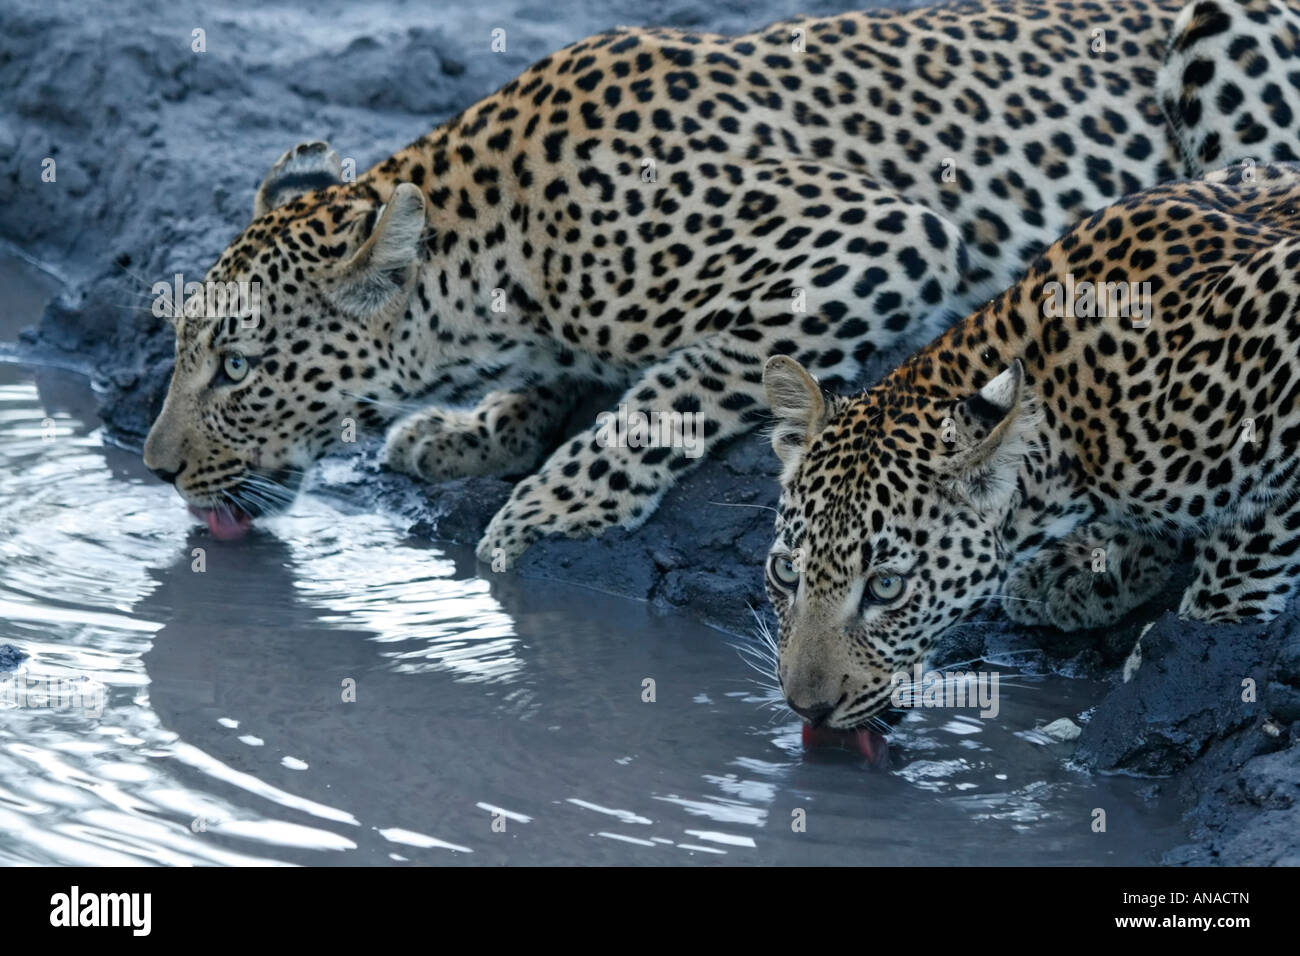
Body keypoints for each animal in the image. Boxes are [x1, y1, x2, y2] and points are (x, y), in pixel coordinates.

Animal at [141, 0, 1300, 561]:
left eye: (236, 366)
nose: (153, 468)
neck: (498, 249)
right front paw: (469, 430)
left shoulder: (883, 233)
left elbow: (678, 387)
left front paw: (539, 513)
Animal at [762, 160, 1300, 731]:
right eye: (786, 571)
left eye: (887, 587)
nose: (807, 708)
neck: (1078, 414)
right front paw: (1091, 567)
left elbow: (1256, 531)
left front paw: (1208, 628)